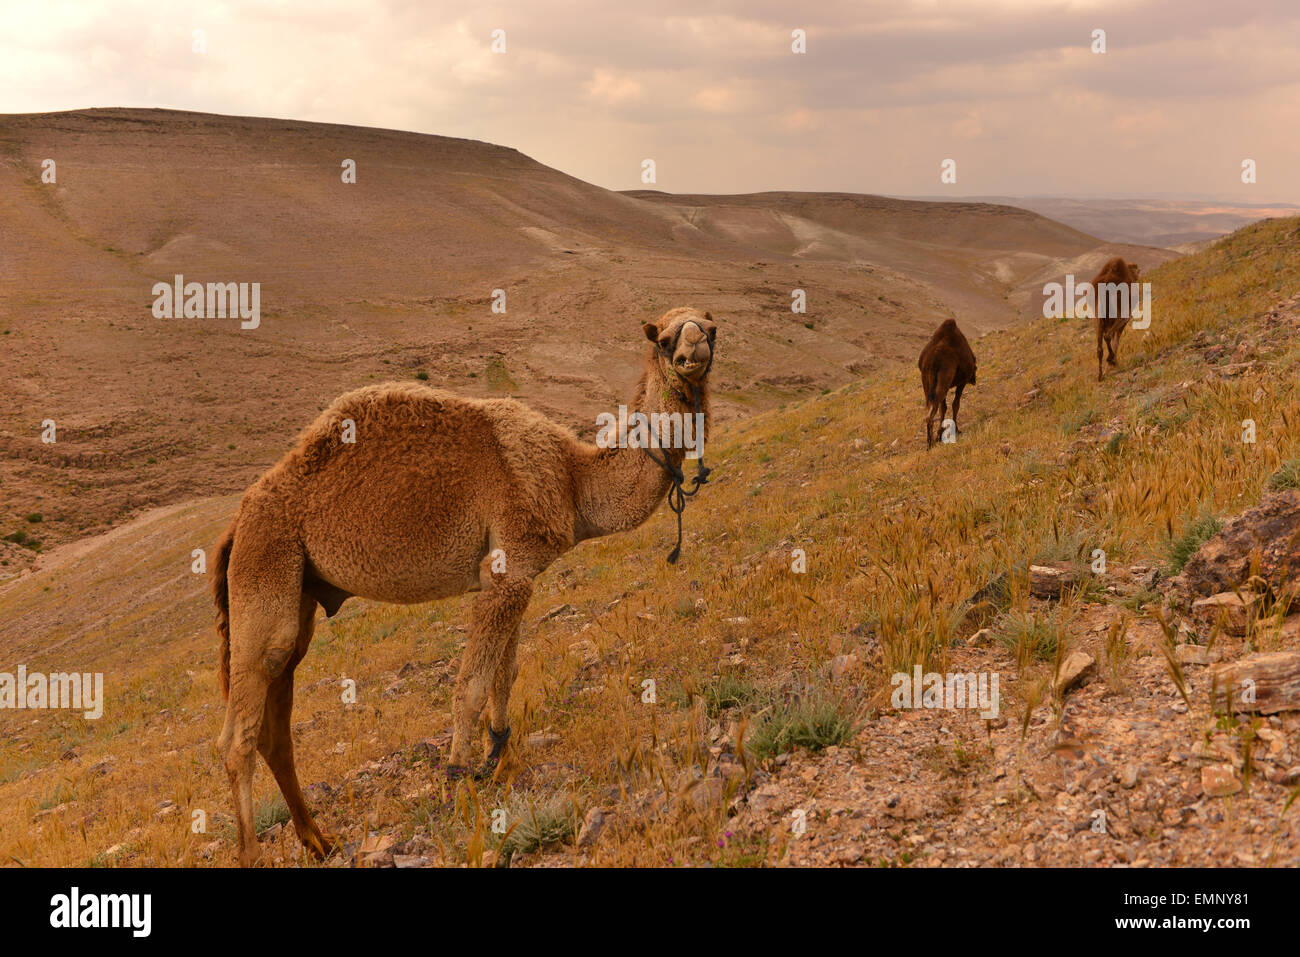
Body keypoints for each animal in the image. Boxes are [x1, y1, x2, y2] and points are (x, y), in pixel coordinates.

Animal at [212, 307, 716, 866]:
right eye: (664, 338)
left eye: (712, 329)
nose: (692, 354)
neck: (573, 479)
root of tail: (237, 523)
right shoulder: (508, 568)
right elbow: (471, 686)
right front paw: (458, 783)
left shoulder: (518, 574)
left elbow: (505, 675)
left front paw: (500, 758)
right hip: (265, 567)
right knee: (239, 734)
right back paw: (253, 852)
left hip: (299, 590)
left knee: (276, 725)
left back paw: (320, 841)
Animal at [918, 318, 976, 449]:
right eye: (975, 369)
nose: (974, 380)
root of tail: (932, 361)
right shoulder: (962, 381)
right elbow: (955, 404)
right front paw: (956, 430)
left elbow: (943, 408)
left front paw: (940, 435)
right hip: (943, 381)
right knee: (930, 413)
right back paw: (930, 443)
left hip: (927, 384)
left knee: (931, 407)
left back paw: (931, 440)